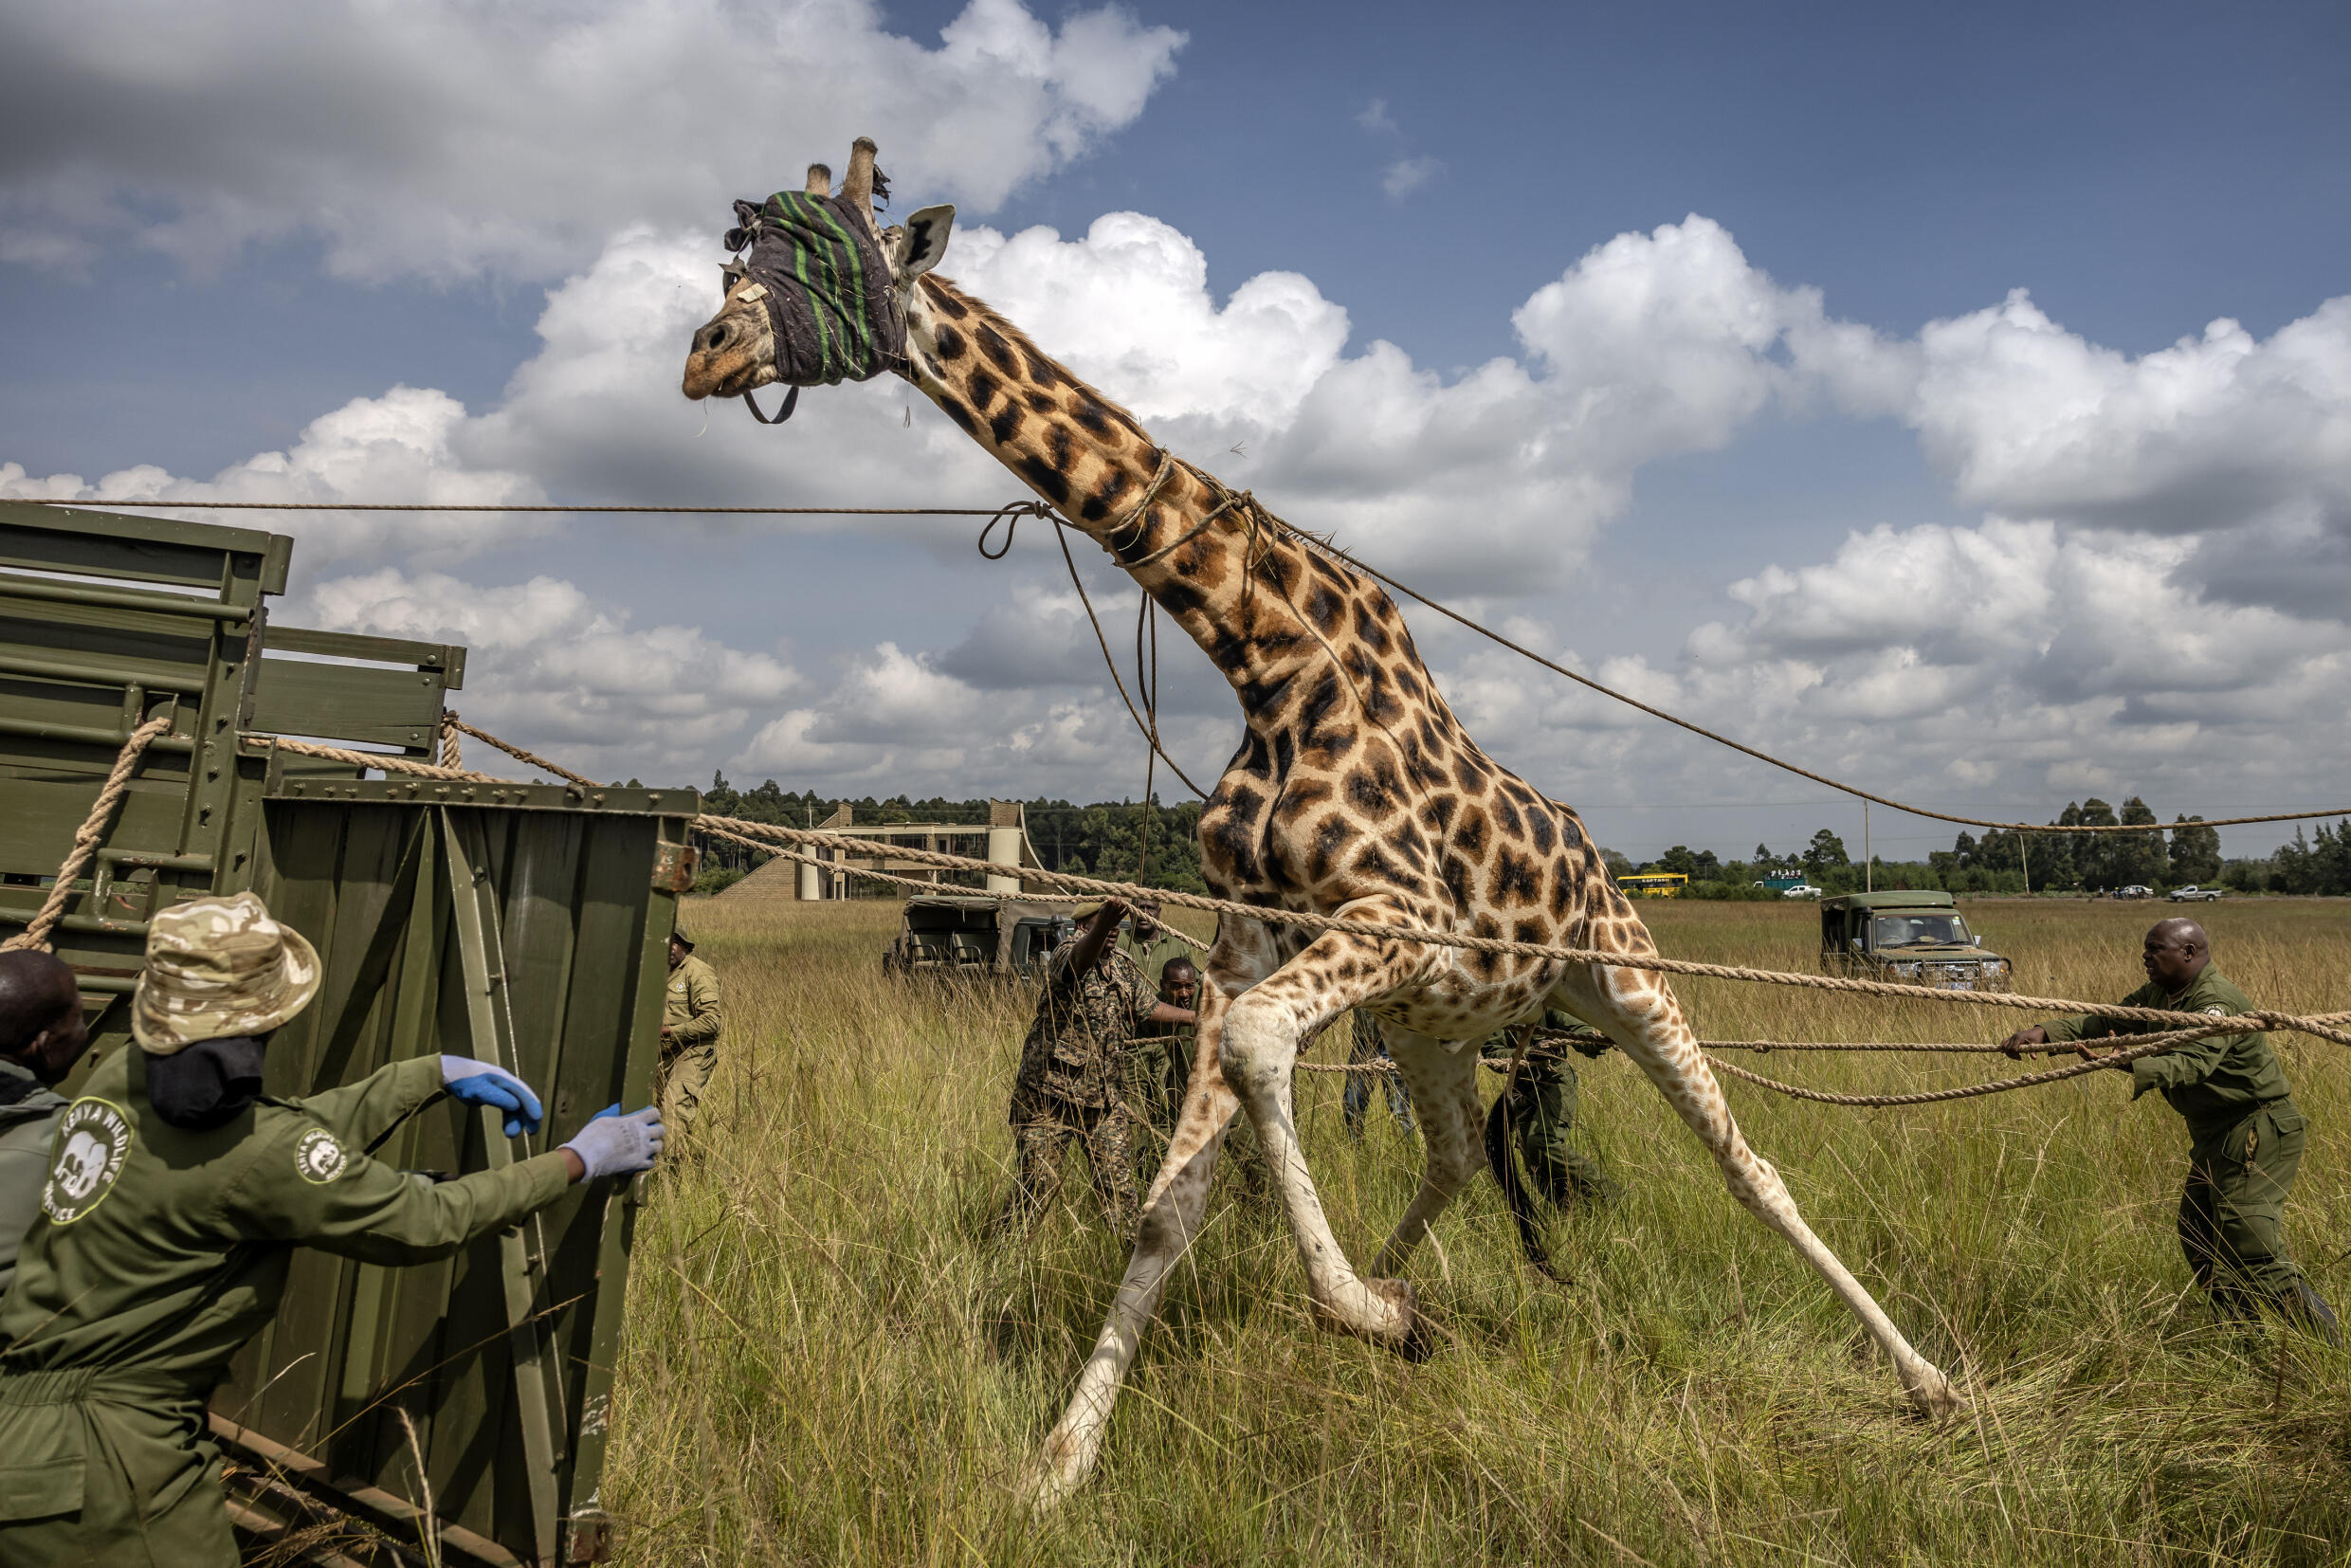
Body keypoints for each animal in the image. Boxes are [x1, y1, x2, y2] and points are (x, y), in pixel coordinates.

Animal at [682, 139, 1966, 1505]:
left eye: (827, 255)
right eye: (740, 251)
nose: (703, 353)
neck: (1266, 658)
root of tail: (1602, 873)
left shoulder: (1393, 914)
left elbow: (1253, 1052)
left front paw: (1355, 1311)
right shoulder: (1252, 936)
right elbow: (1170, 1200)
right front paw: (1062, 1462)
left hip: (1618, 982)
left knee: (1746, 1165)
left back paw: (1930, 1383)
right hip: (1441, 1022)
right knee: (1456, 1152)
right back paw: (1409, 1289)